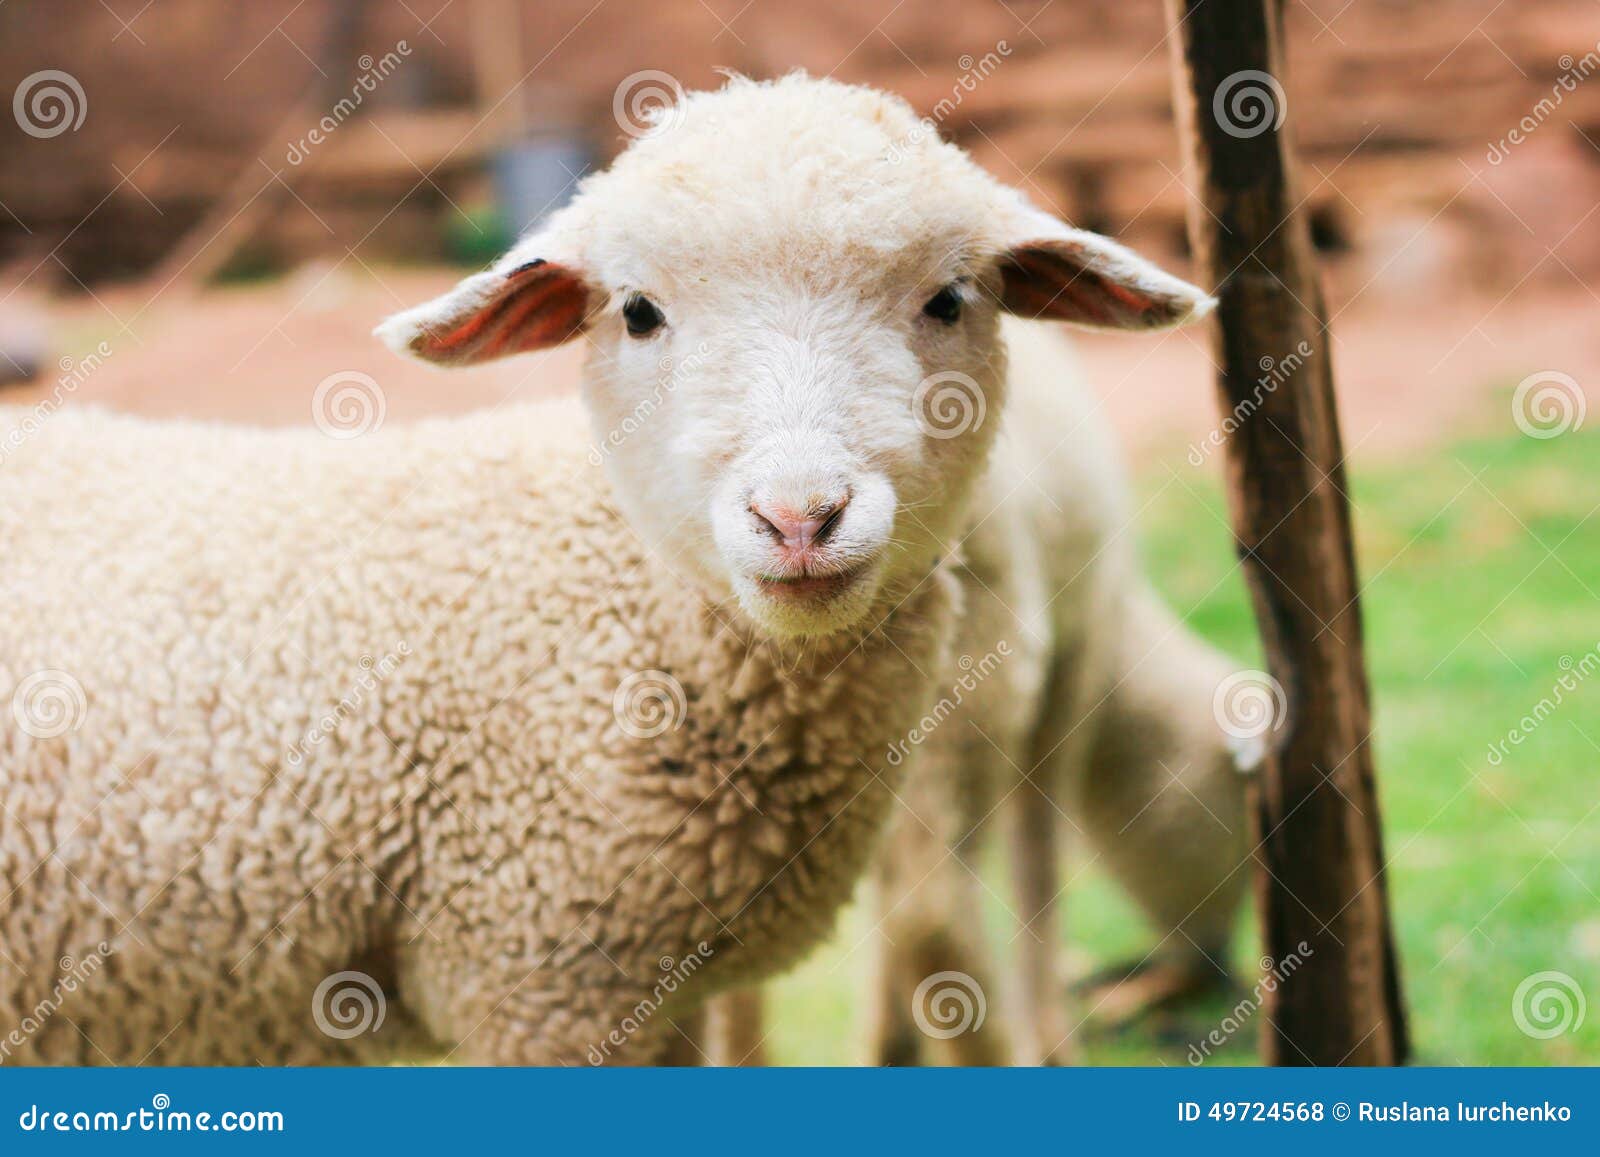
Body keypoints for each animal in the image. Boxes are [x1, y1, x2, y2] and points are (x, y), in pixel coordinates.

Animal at [0, 73, 1214, 1065]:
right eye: (638, 312)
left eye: (949, 299)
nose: (799, 516)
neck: (623, 608)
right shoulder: (544, 970)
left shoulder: (656, 987)